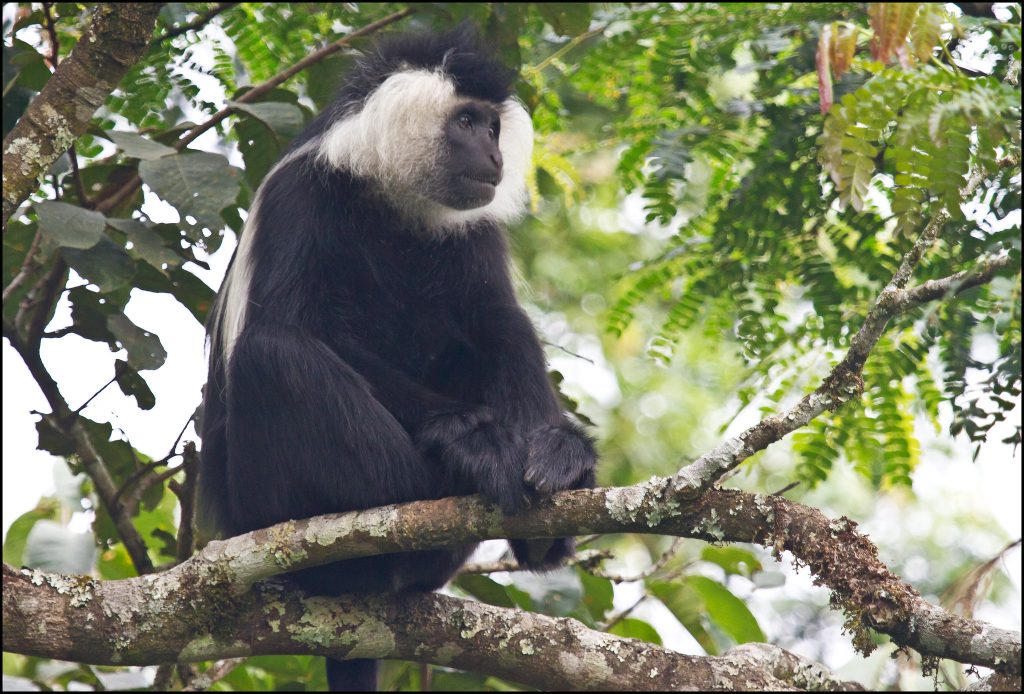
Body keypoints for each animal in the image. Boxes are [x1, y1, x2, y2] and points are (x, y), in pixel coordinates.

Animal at [197, 24, 597, 691]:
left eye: (494, 127)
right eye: (467, 121)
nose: (495, 158)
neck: (390, 195)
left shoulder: (472, 229)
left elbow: (502, 324)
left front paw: (556, 453)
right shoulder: (300, 198)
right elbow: (295, 325)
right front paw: (470, 438)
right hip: (262, 503)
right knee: (270, 355)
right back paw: (439, 482)